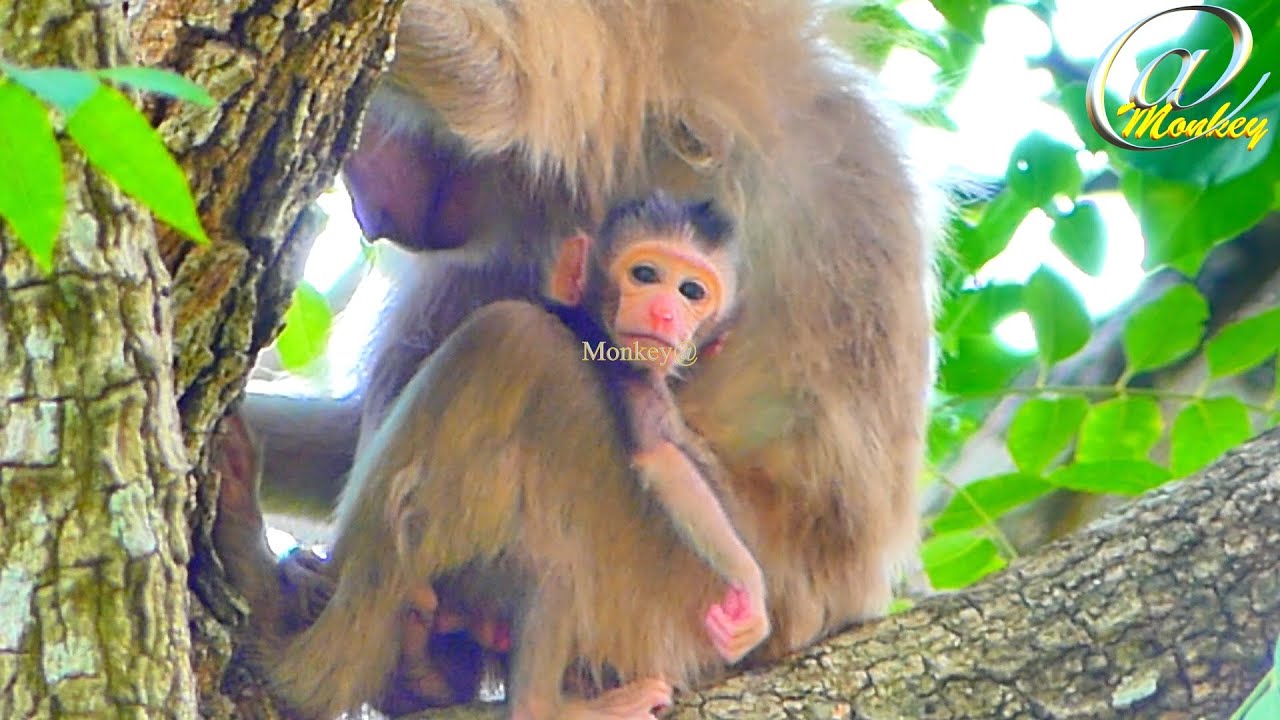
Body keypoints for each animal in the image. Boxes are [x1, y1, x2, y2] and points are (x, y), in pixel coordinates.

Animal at [544, 191, 769, 665]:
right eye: (645, 274)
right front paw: (750, 584)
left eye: (691, 291)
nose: (665, 313)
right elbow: (662, 460)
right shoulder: (630, 371)